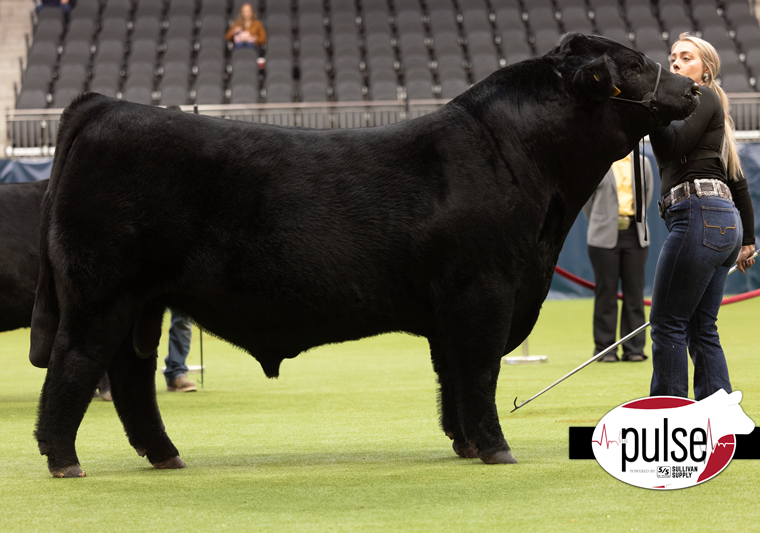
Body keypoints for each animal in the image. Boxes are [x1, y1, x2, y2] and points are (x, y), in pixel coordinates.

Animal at [30, 33, 699, 477]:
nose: (693, 86)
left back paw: (165, 455)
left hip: (141, 302)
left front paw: (464, 444)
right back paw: (64, 461)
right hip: (100, 295)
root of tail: (104, 105)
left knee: (129, 376)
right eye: (638, 64)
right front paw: (496, 447)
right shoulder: (483, 291)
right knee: (75, 364)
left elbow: (453, 379)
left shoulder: (452, 309)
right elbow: (480, 373)